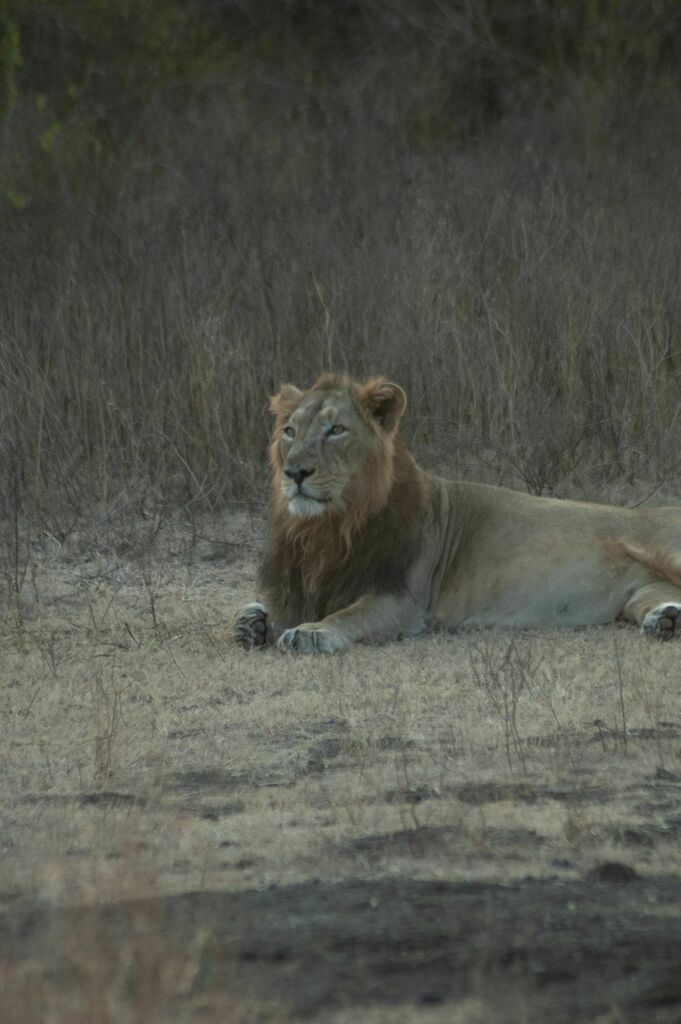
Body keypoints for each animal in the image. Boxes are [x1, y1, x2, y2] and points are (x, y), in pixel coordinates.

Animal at [234, 373, 681, 653]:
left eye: (336, 430)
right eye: (289, 432)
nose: (295, 472)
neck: (328, 529)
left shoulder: (403, 601)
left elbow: (349, 616)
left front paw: (311, 632)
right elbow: (260, 609)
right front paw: (252, 622)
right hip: (641, 593)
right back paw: (667, 622)